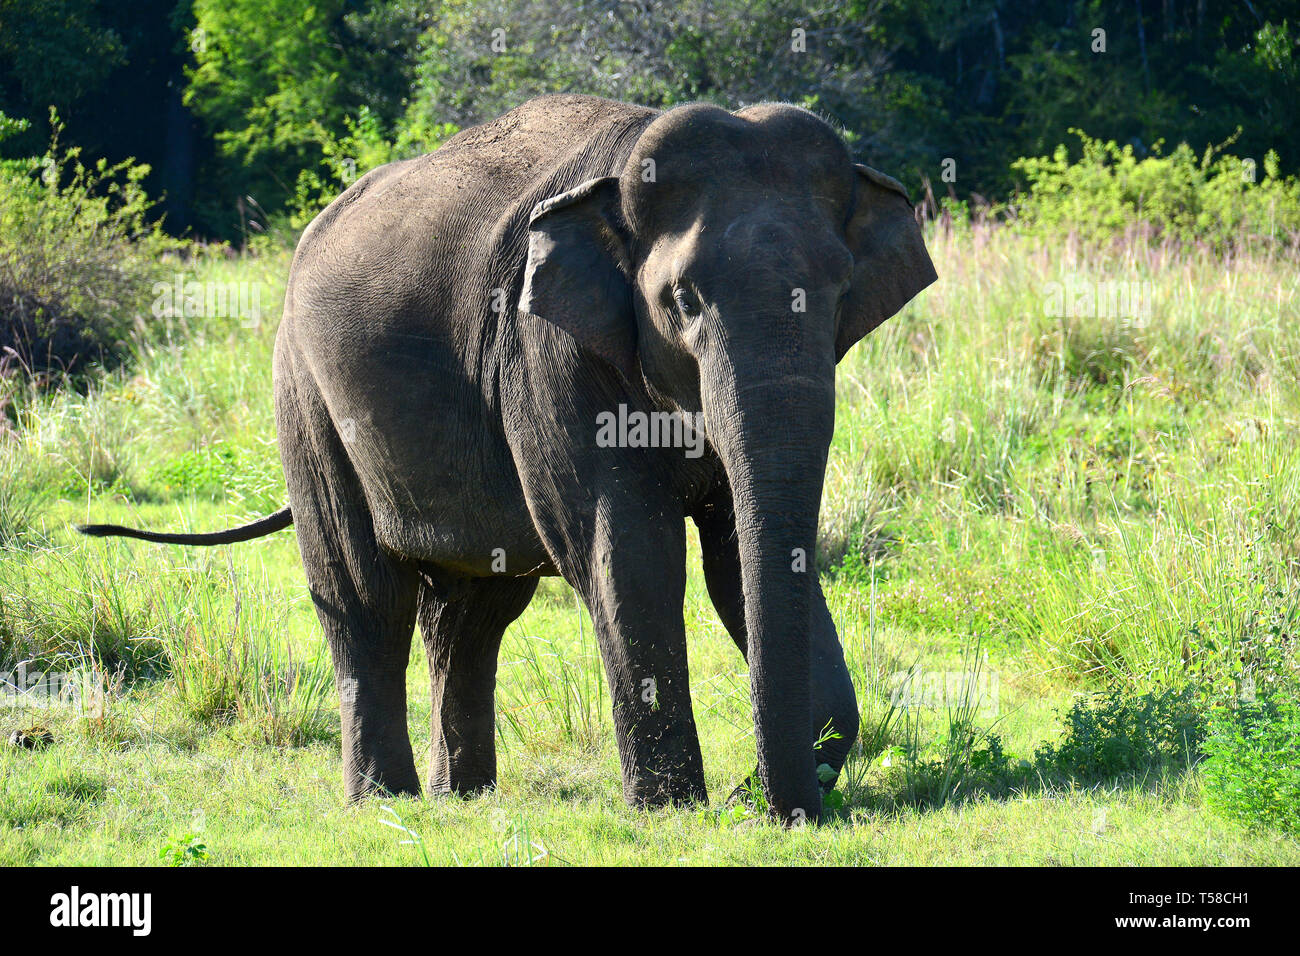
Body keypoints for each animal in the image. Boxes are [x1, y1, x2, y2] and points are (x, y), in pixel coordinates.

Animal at [80, 94, 936, 823]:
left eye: (839, 294)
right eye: (683, 299)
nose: (767, 804)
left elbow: (737, 558)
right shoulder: (546, 349)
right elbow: (624, 549)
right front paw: (671, 813)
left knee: (470, 611)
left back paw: (461, 797)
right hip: (305, 395)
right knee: (364, 594)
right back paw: (385, 802)